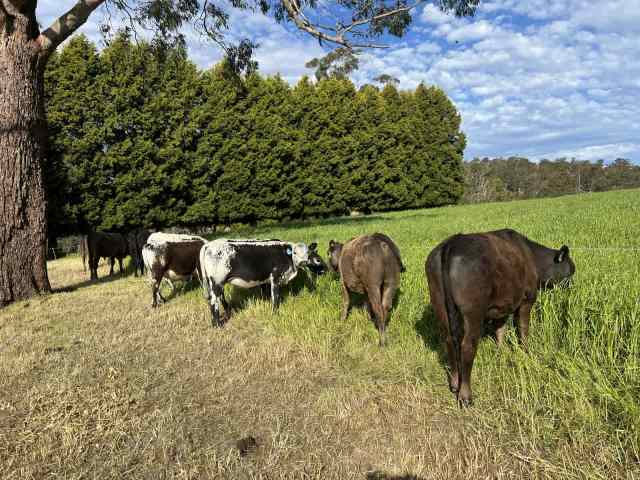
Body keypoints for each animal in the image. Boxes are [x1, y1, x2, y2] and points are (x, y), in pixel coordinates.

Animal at [425, 228, 576, 407]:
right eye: (570, 271)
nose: (573, 287)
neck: (531, 256)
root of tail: (453, 243)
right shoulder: (526, 301)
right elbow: (523, 331)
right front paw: (526, 353)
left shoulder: (501, 307)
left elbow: (499, 329)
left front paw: (500, 351)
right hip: (473, 312)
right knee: (467, 347)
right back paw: (466, 395)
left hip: (439, 303)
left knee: (448, 340)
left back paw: (455, 383)